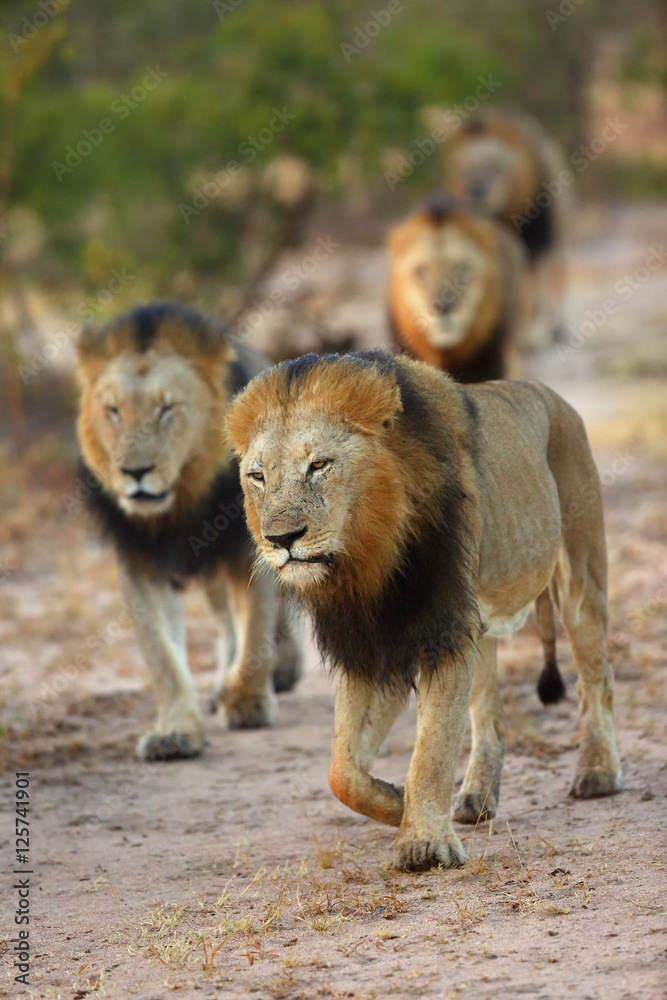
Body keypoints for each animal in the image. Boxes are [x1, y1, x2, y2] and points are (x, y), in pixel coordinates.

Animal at [76, 302, 303, 761]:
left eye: (167, 410)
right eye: (113, 411)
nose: (135, 472)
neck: (175, 511)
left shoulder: (245, 551)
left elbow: (256, 626)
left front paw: (248, 702)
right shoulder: (139, 563)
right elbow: (161, 656)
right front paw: (175, 732)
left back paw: (282, 668)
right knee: (224, 622)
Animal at [227, 350, 621, 871]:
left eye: (319, 465)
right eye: (257, 476)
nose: (280, 539)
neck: (367, 562)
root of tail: (552, 396)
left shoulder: (443, 630)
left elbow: (432, 747)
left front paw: (425, 845)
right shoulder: (372, 645)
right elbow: (341, 770)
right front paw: (397, 803)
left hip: (580, 577)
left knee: (596, 681)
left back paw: (598, 773)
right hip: (481, 620)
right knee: (490, 715)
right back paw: (475, 799)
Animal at [445, 110, 568, 345]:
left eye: (494, 166)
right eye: (467, 169)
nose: (477, 190)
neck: (505, 215)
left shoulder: (535, 241)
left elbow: (527, 288)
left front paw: (523, 335)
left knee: (553, 277)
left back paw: (554, 329)